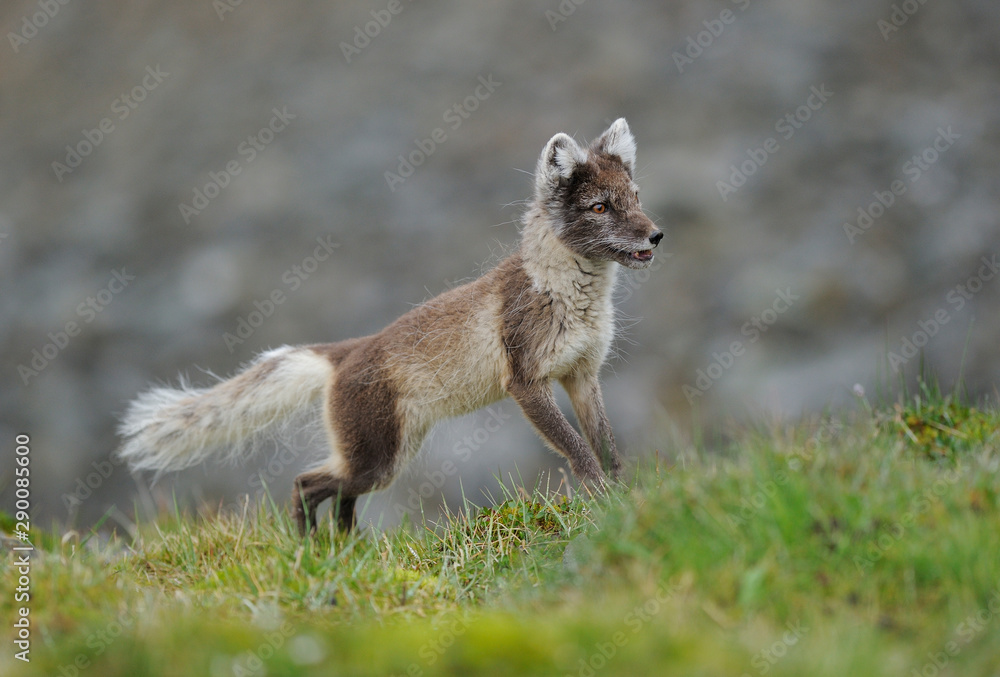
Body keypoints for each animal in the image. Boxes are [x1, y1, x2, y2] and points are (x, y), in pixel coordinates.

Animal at [117, 118, 663, 535]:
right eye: (600, 207)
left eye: (636, 197)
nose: (657, 234)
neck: (566, 294)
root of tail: (345, 351)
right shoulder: (527, 382)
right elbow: (579, 452)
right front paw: (604, 501)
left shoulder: (582, 375)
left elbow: (607, 447)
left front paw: (625, 496)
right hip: (376, 460)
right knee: (306, 484)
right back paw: (308, 548)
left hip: (387, 458)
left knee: (338, 499)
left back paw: (348, 550)